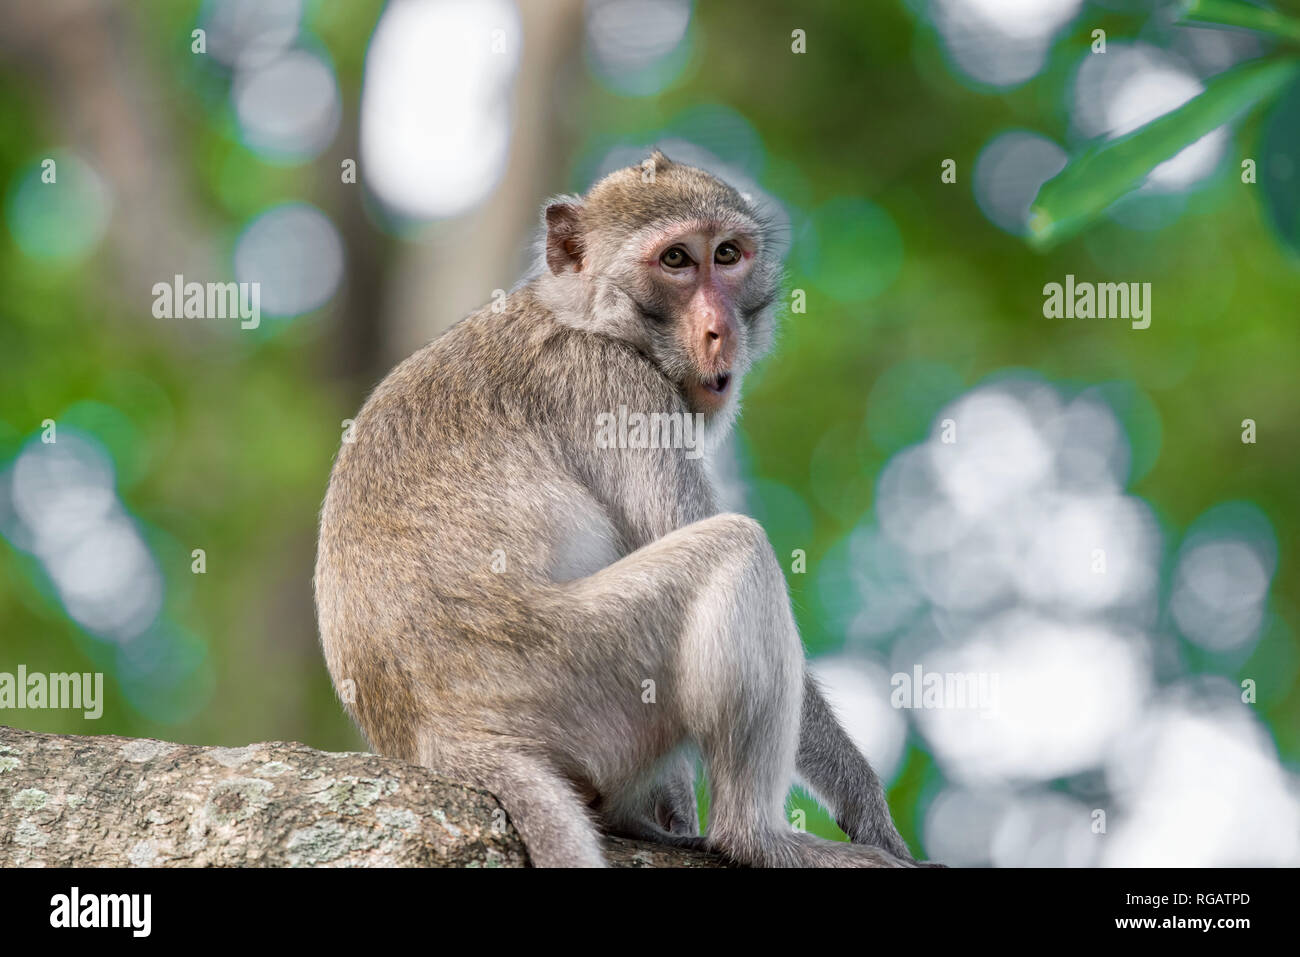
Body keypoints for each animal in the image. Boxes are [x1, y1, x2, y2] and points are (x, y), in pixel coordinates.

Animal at [314, 150, 927, 867]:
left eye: (727, 254)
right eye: (676, 261)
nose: (720, 330)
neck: (591, 319)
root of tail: (442, 735)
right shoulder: (620, 392)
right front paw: (867, 804)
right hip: (581, 677)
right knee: (735, 548)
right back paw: (757, 837)